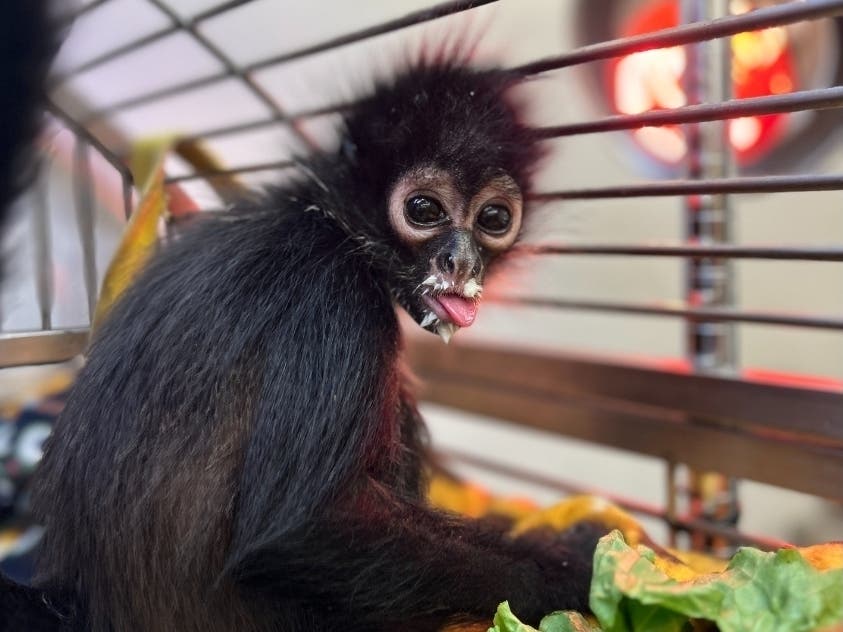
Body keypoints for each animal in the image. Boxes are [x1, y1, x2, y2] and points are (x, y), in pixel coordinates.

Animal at [6, 59, 604, 632]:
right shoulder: (332, 293)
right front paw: (574, 565)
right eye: (424, 210)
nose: (461, 262)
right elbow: (309, 530)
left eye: (494, 219)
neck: (325, 218)